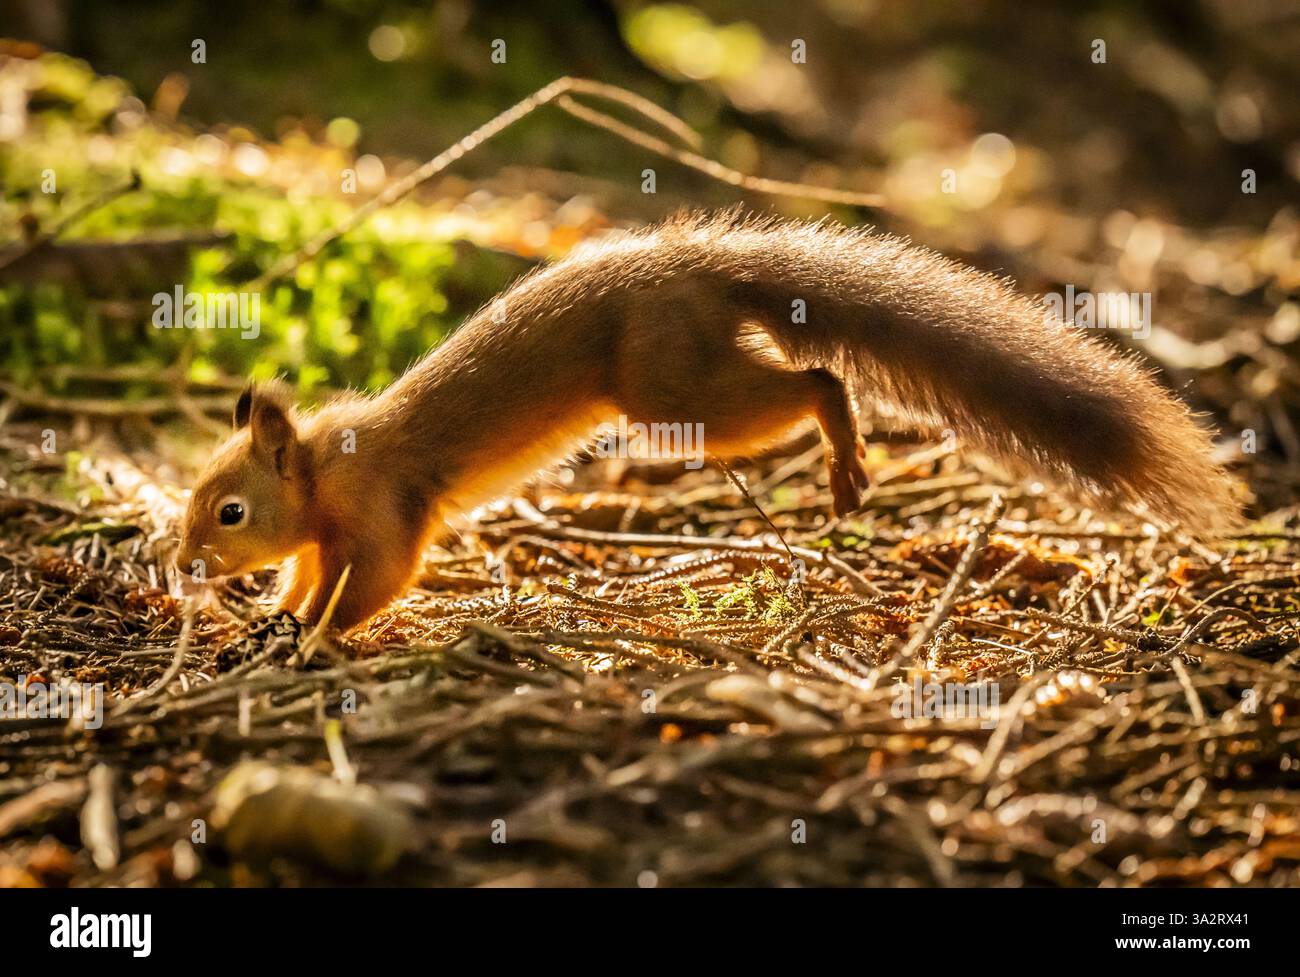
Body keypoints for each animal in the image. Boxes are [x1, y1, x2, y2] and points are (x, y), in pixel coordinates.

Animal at [177, 211, 1239, 632]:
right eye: (191, 498)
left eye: (229, 511)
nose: (180, 565)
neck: (321, 470)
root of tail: (704, 264)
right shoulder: (325, 533)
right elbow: (311, 572)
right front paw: (273, 617)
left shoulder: (385, 507)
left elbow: (379, 580)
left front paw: (309, 635)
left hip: (675, 392)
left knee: (818, 379)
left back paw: (847, 463)